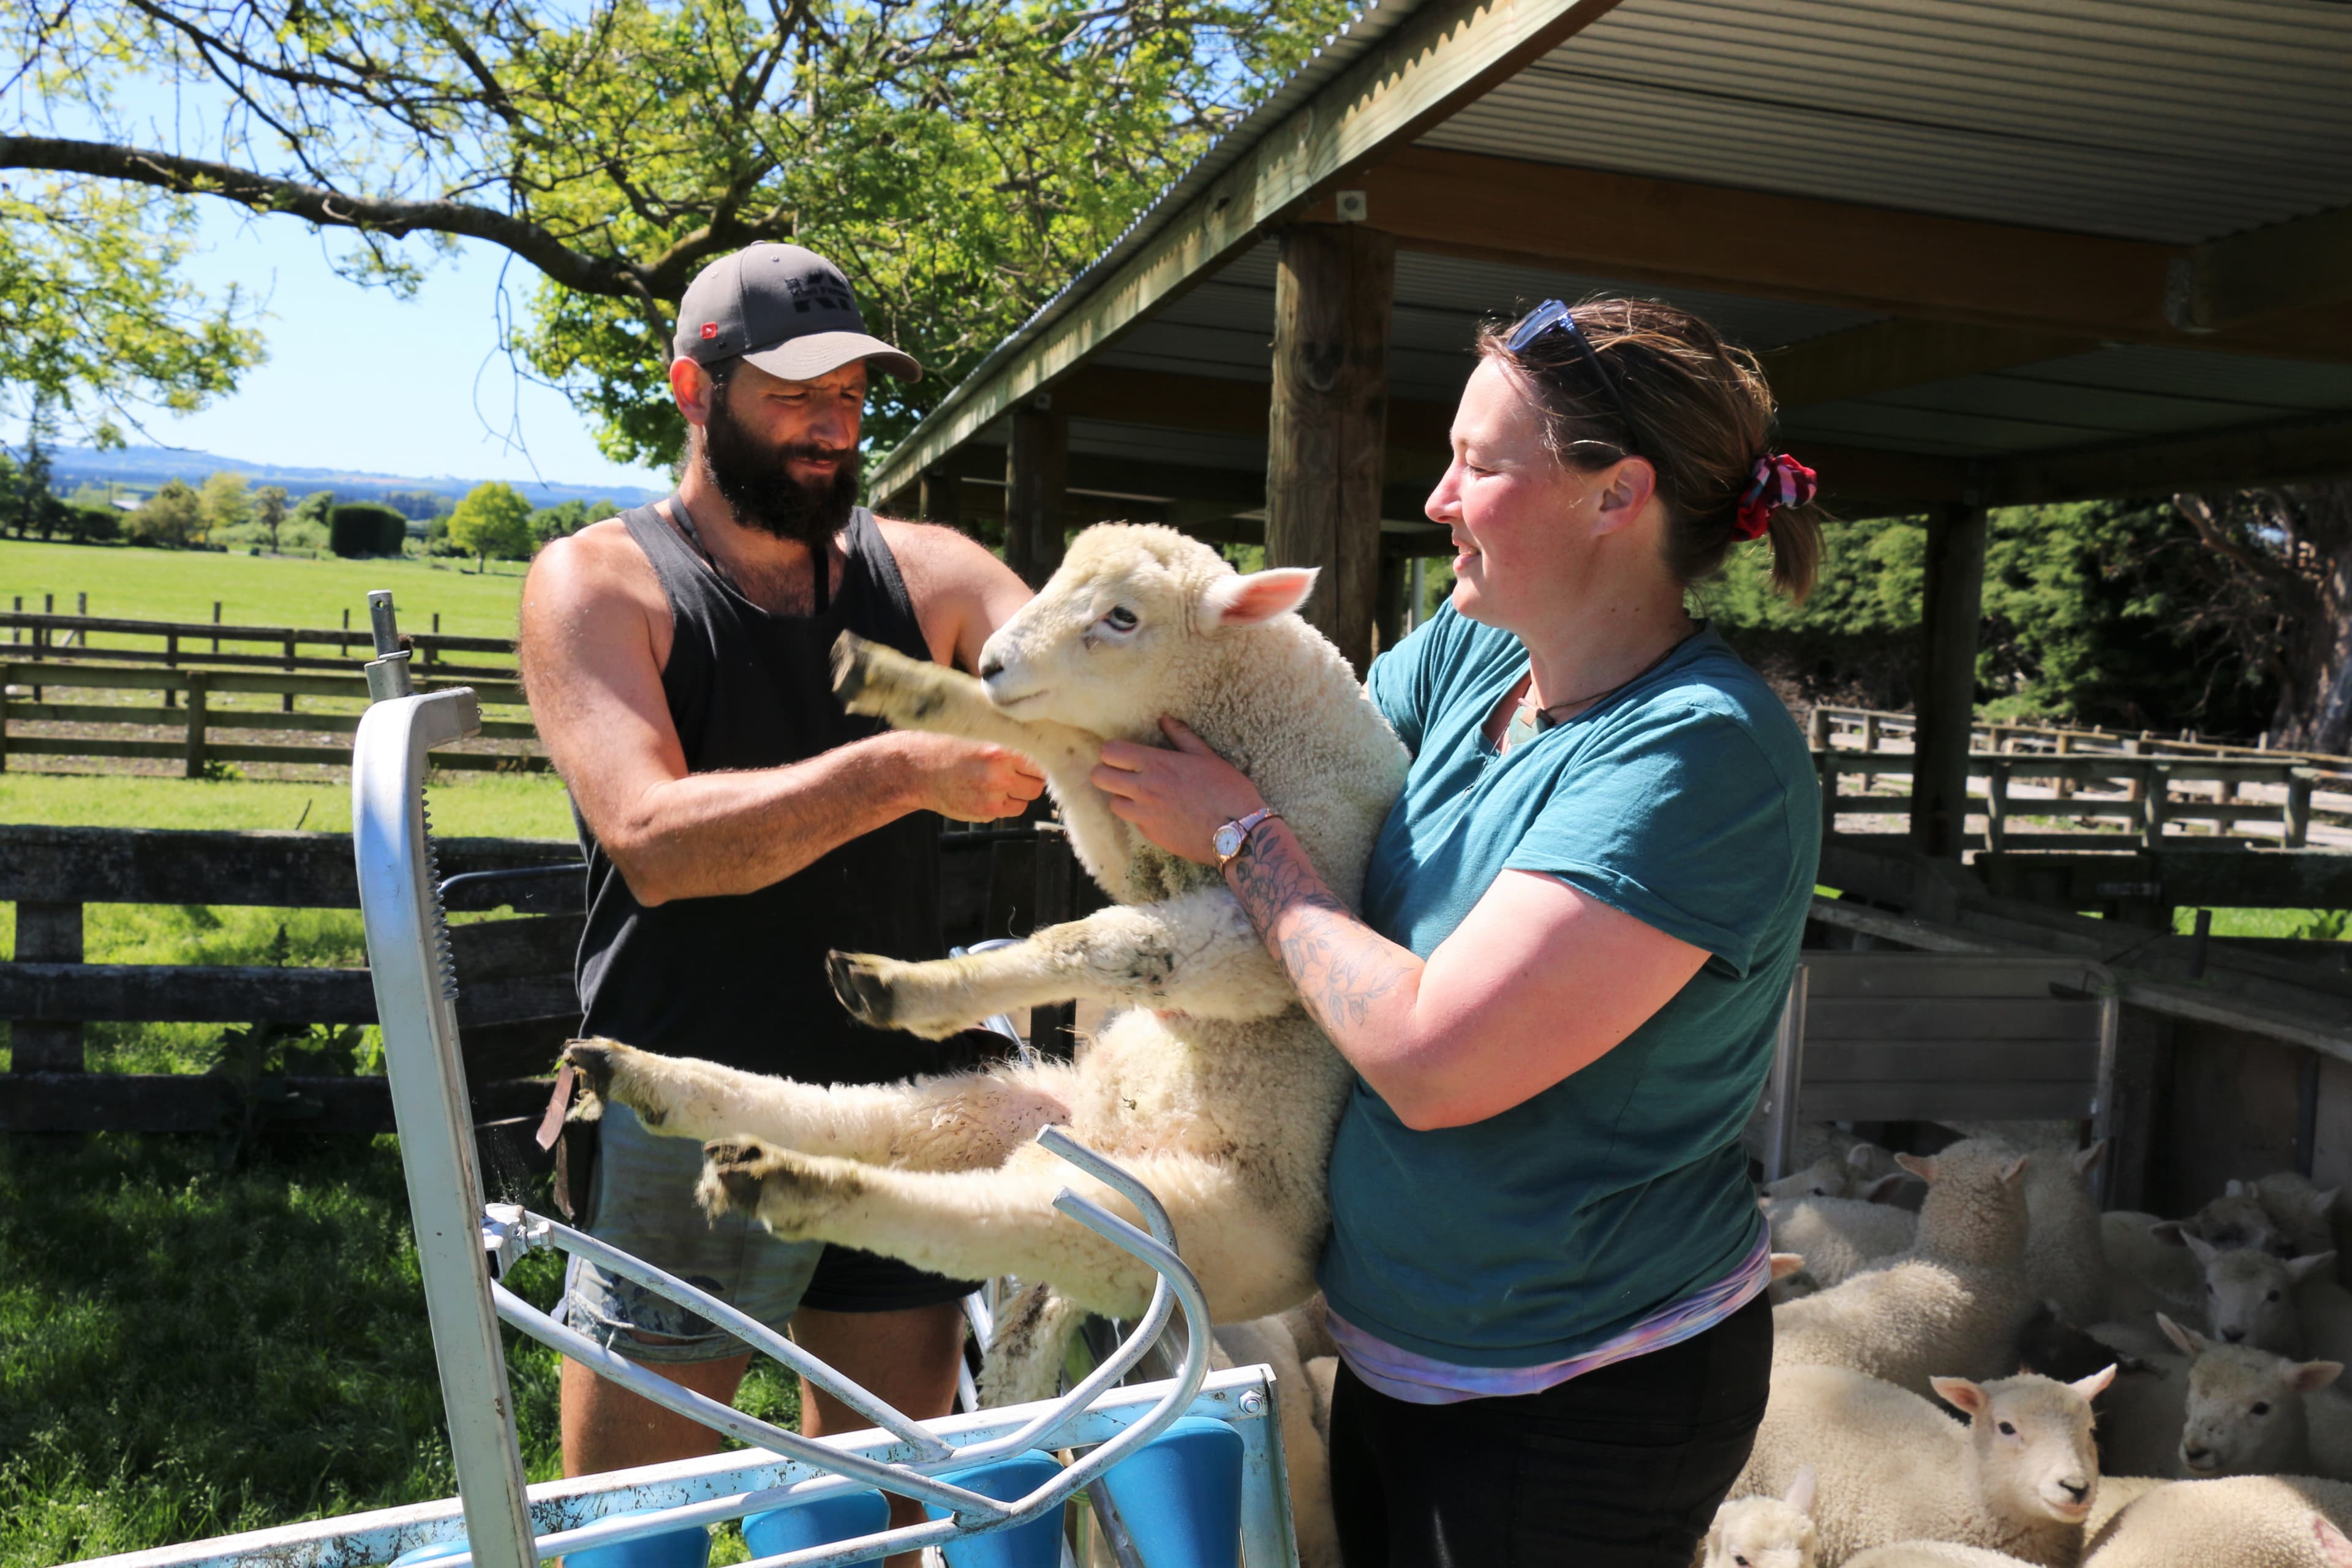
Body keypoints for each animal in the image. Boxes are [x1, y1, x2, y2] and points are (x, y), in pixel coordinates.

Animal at [560, 525, 1412, 1403]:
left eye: (1122, 617)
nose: (997, 662)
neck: (1250, 723)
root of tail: (1098, 1137)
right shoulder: (1127, 828)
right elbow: (1064, 750)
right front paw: (907, 682)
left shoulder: (1282, 926)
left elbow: (1106, 941)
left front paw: (937, 994)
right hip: (1004, 1114)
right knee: (852, 1120)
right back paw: (653, 1080)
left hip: (1164, 1224)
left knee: (981, 1219)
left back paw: (803, 1159)